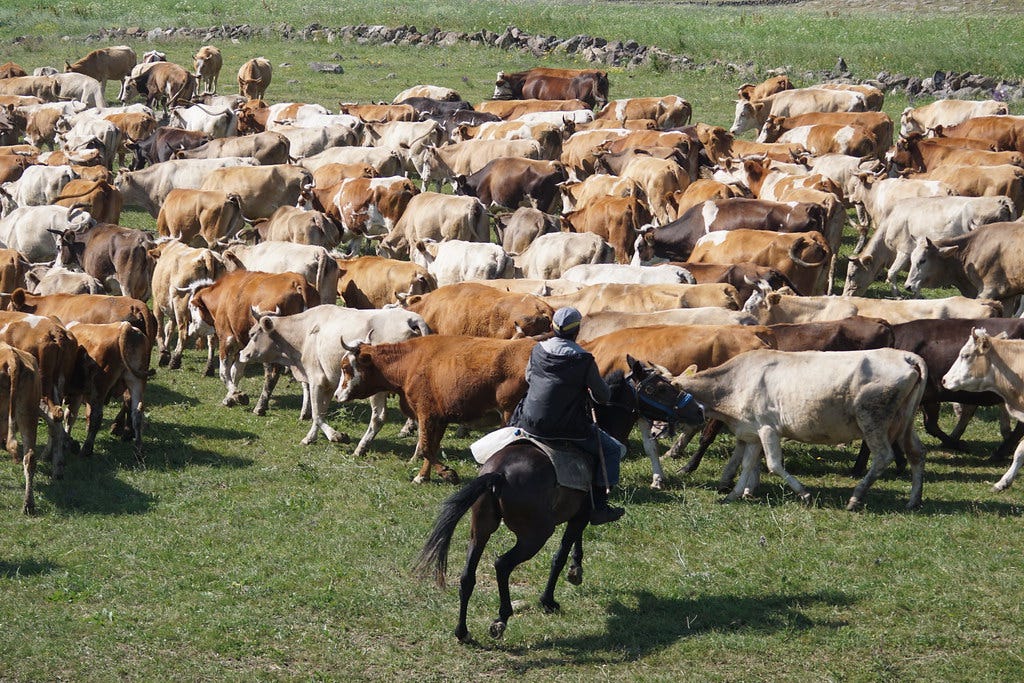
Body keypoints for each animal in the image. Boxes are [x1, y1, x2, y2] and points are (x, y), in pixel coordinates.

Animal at [187, 269, 318, 411]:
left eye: (191, 308)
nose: (190, 330)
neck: (222, 295)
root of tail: (298, 282)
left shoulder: (227, 338)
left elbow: (224, 372)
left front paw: (237, 395)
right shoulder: (242, 344)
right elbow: (236, 371)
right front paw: (230, 397)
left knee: (271, 374)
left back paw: (260, 406)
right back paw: (306, 410)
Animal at [239, 305, 429, 448]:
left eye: (252, 334)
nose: (242, 353)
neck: (305, 332)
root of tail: (412, 319)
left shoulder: (316, 380)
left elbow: (317, 414)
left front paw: (336, 435)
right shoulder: (330, 384)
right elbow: (321, 411)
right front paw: (311, 437)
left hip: (378, 390)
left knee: (379, 417)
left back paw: (362, 447)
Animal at [335, 335, 536, 482]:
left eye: (345, 367)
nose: (337, 395)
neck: (411, 362)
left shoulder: (426, 413)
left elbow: (425, 447)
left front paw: (448, 473)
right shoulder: (441, 418)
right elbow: (432, 447)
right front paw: (422, 477)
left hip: (510, 416)